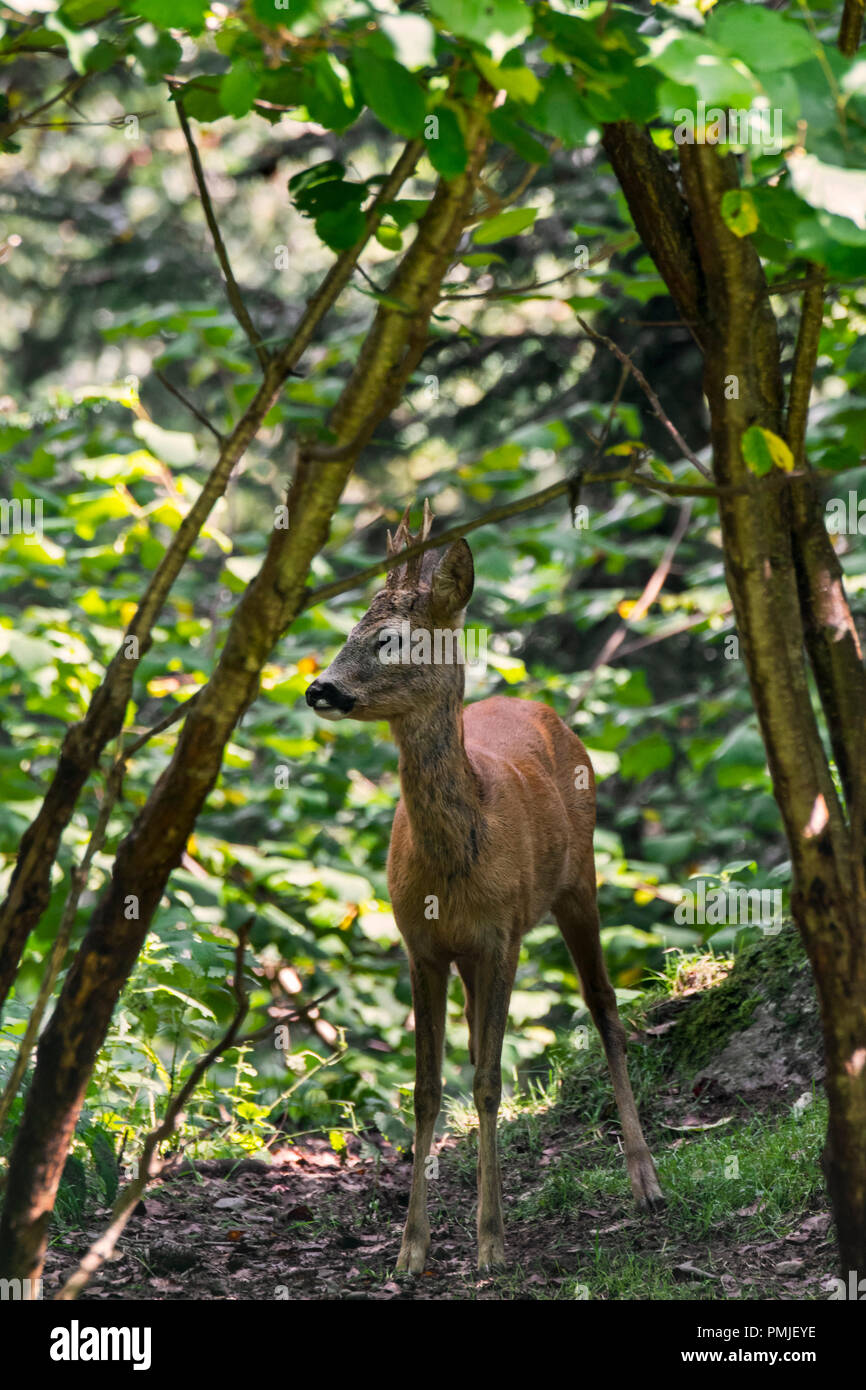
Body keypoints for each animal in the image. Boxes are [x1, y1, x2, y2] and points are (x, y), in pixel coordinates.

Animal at [305, 502, 663, 1273]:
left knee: (603, 1005)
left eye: (391, 639)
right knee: (477, 1042)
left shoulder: (502, 936)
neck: (455, 866)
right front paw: (410, 1250)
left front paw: (491, 1243)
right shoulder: (421, 944)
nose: (320, 688)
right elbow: (427, 1087)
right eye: (348, 633)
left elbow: (493, 1082)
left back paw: (646, 1182)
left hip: (579, 881)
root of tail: (539, 706)